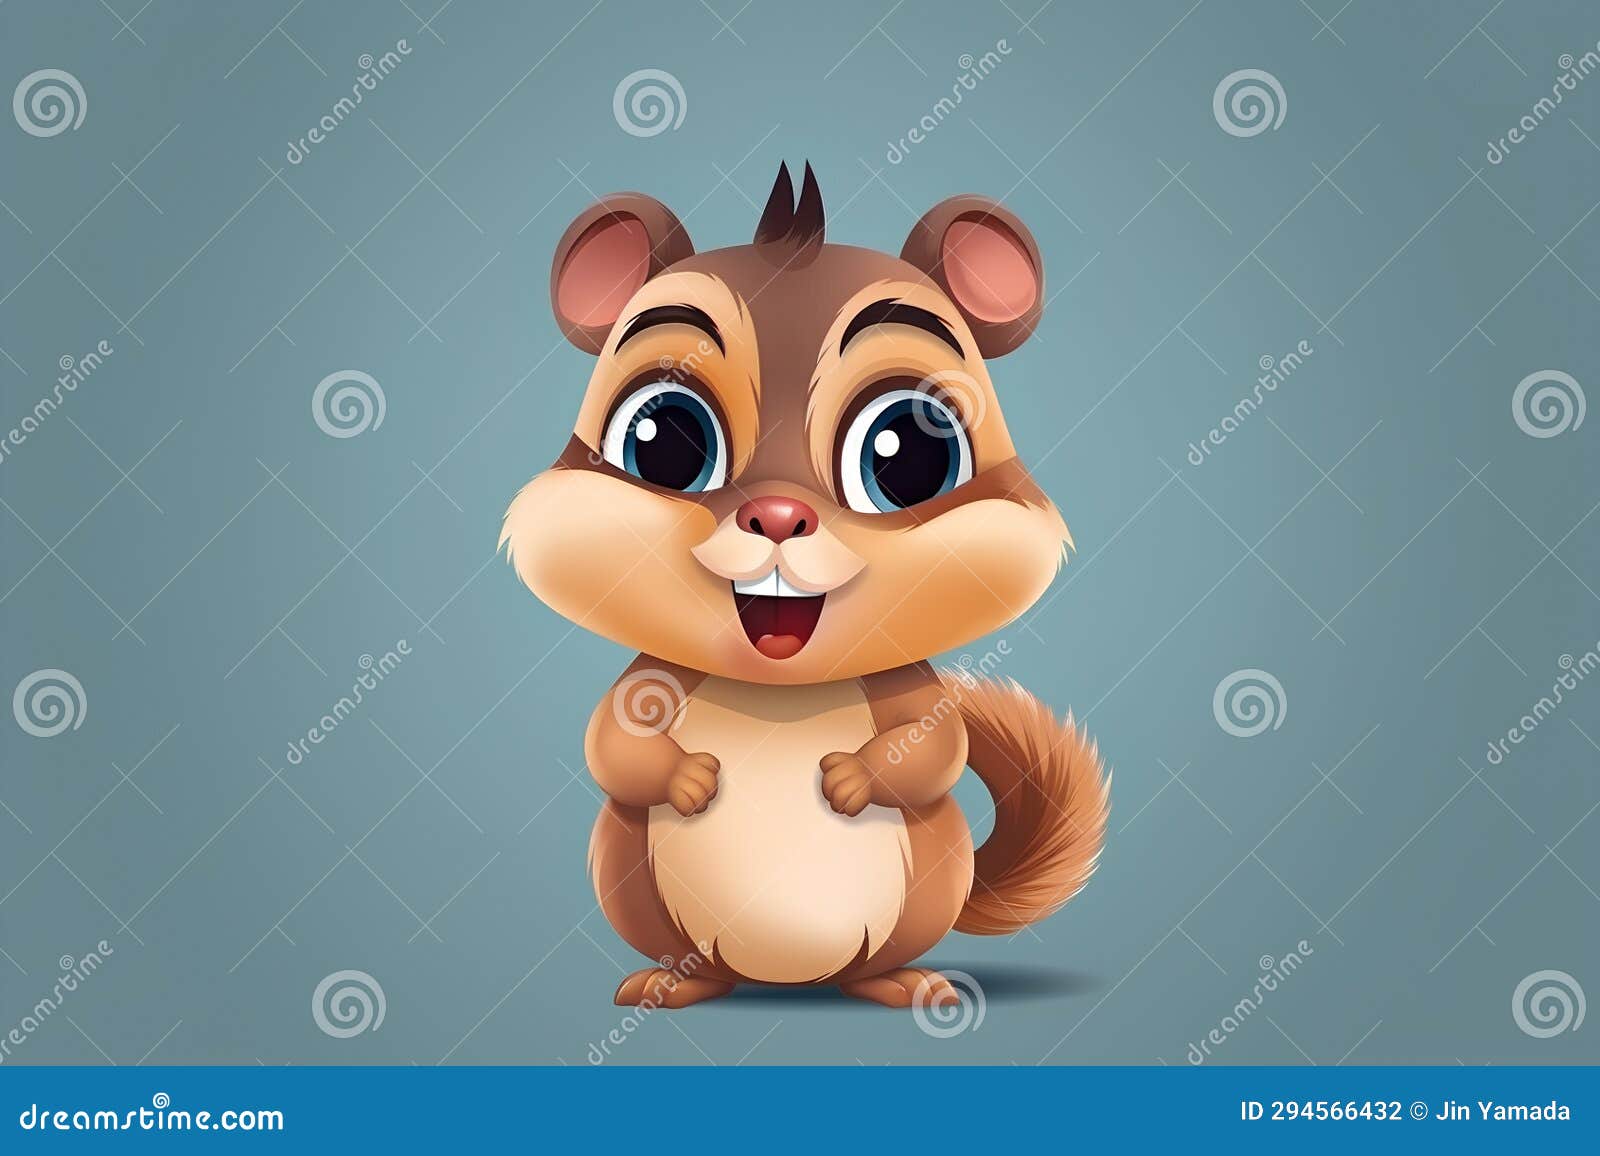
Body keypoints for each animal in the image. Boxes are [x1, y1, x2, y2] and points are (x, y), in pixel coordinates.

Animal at [501, 163, 1109, 1011]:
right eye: (662, 438)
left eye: (911, 452)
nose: (780, 516)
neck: (780, 693)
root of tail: (789, 978)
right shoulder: (650, 678)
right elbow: (611, 744)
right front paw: (688, 779)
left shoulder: (908, 689)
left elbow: (936, 747)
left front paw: (853, 779)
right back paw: (671, 984)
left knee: (878, 962)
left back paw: (906, 984)